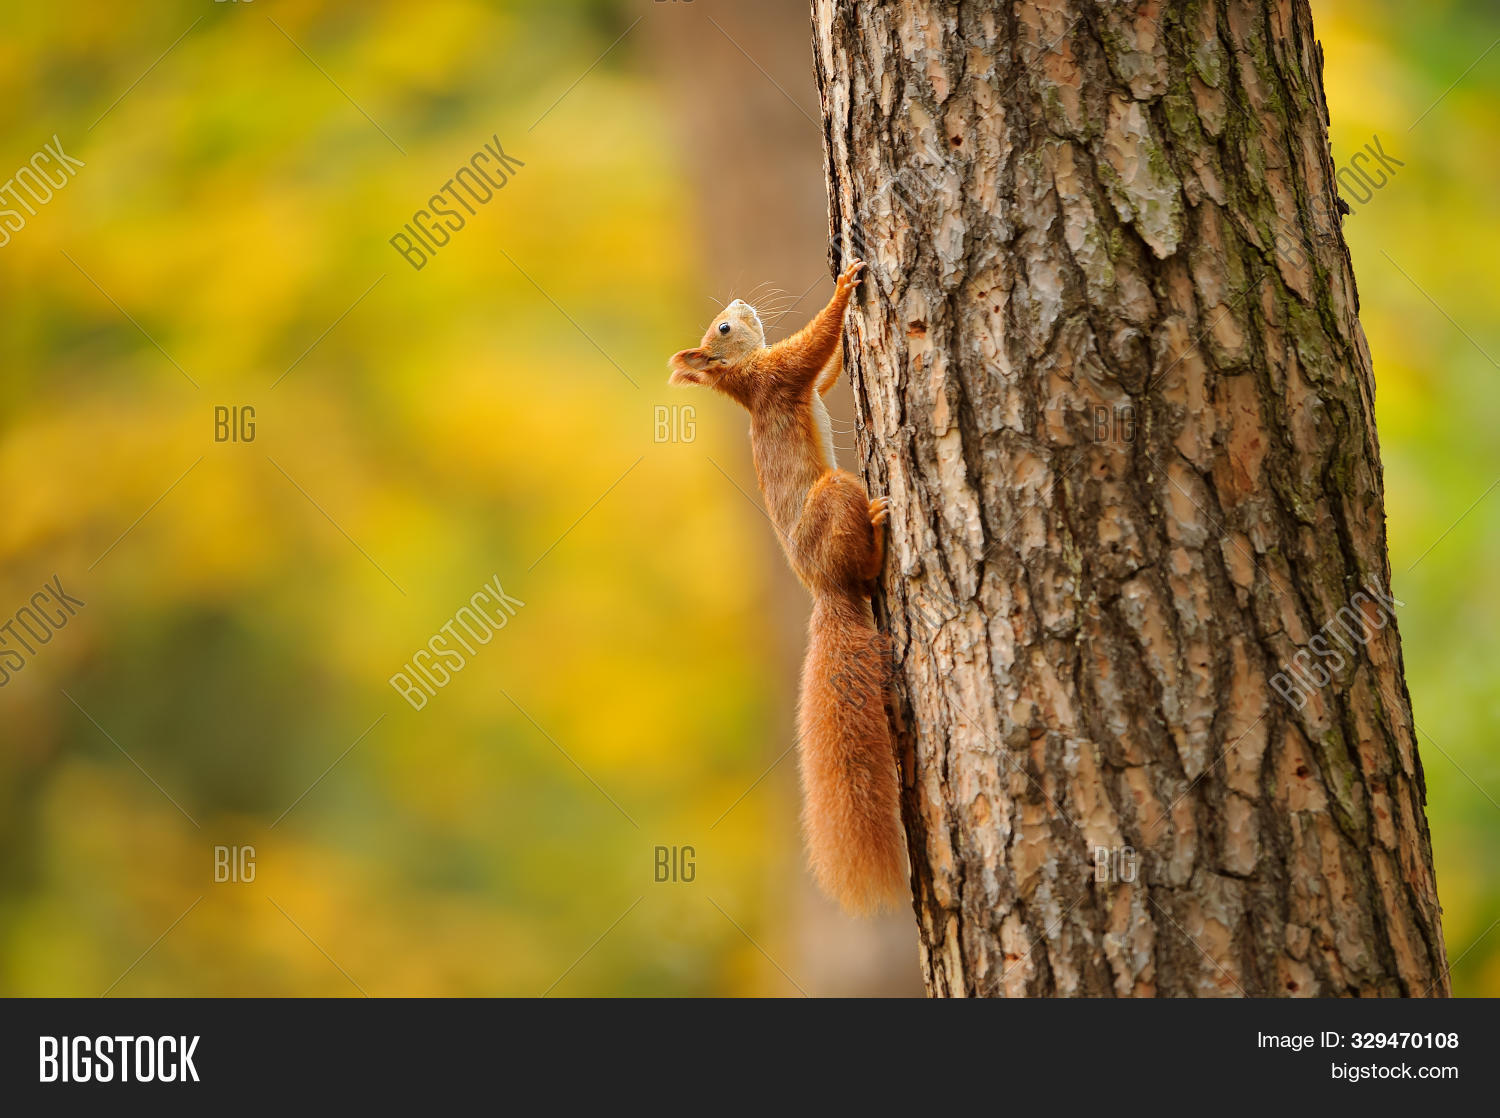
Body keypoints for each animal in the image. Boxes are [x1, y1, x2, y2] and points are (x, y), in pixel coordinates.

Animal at [668, 260, 908, 915]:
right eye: (724, 328)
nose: (740, 302)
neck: (743, 382)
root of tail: (826, 591)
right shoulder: (777, 375)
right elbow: (810, 349)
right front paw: (845, 287)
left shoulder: (789, 381)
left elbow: (823, 377)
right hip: (835, 495)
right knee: (864, 566)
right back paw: (880, 530)